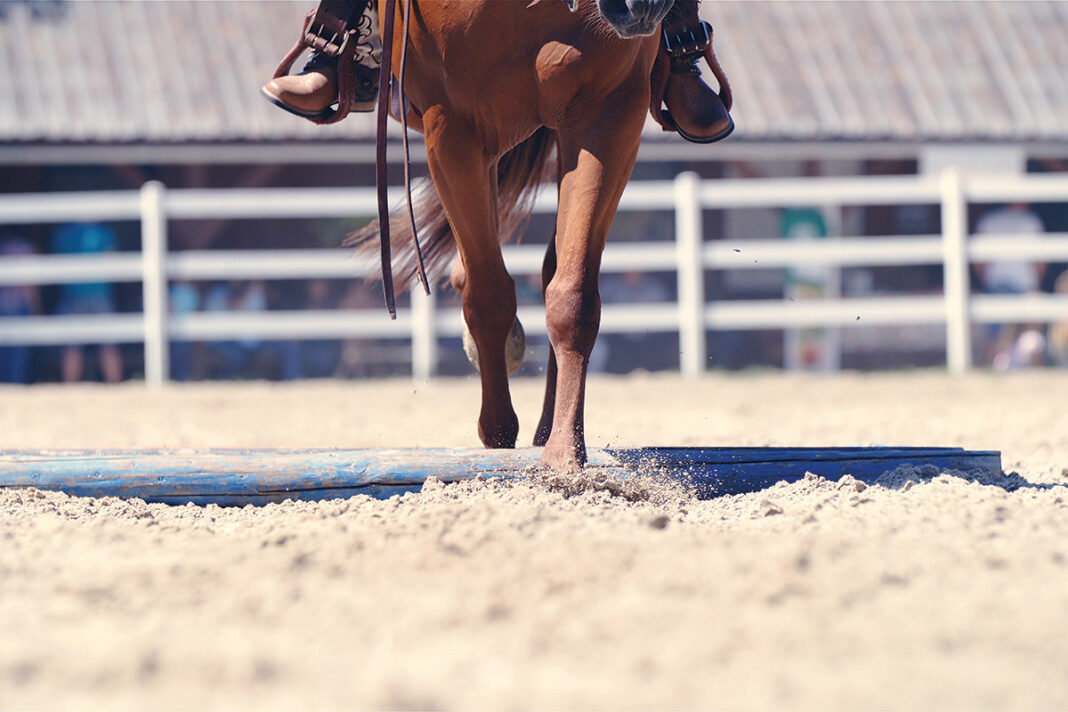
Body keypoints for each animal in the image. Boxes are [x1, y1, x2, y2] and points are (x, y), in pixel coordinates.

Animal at [360, 0, 675, 471]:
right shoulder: (451, 127)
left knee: (548, 267)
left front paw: (565, 448)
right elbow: (488, 295)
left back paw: (545, 425)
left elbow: (573, 293)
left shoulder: (610, 111)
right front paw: (497, 428)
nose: (644, 6)